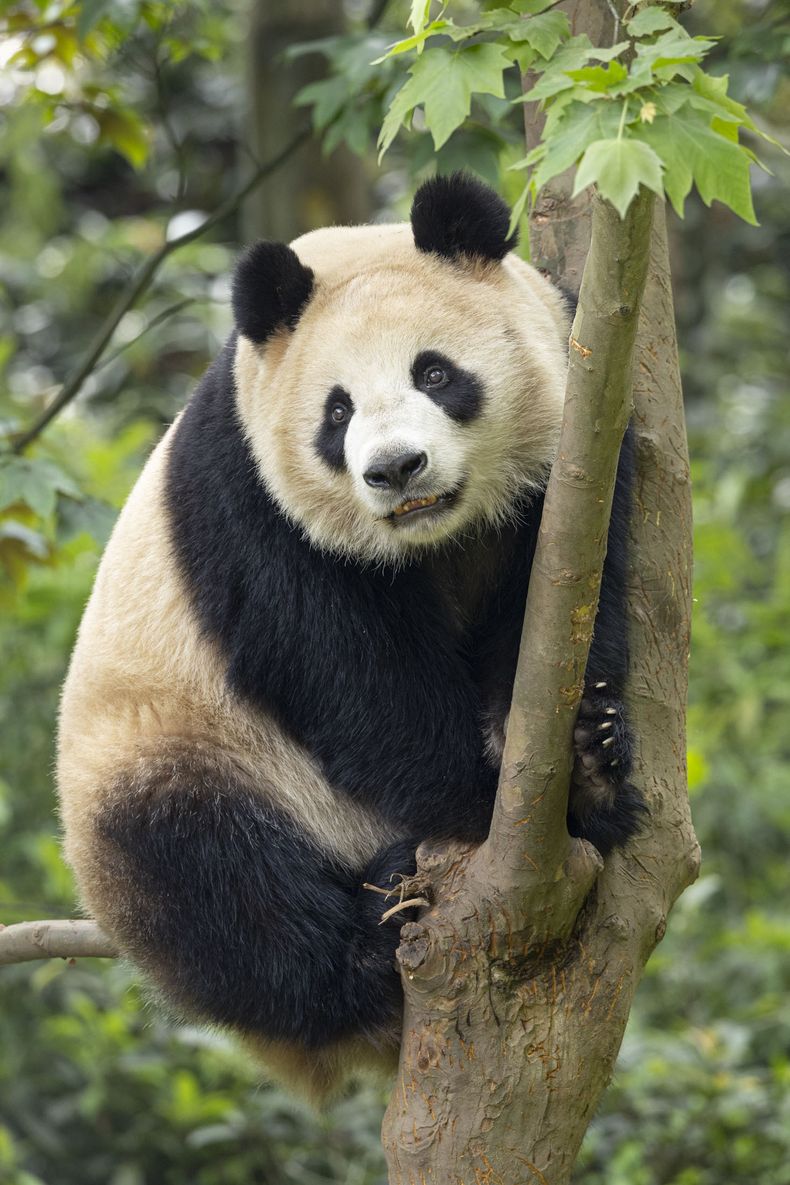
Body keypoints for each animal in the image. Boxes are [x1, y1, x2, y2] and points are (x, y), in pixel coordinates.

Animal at [57, 173, 643, 1102]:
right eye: (337, 412)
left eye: (435, 372)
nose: (396, 468)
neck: (436, 538)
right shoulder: (250, 497)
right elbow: (351, 675)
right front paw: (485, 798)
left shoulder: (583, 437)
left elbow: (560, 606)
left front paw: (585, 759)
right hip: (172, 748)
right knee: (208, 880)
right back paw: (372, 938)